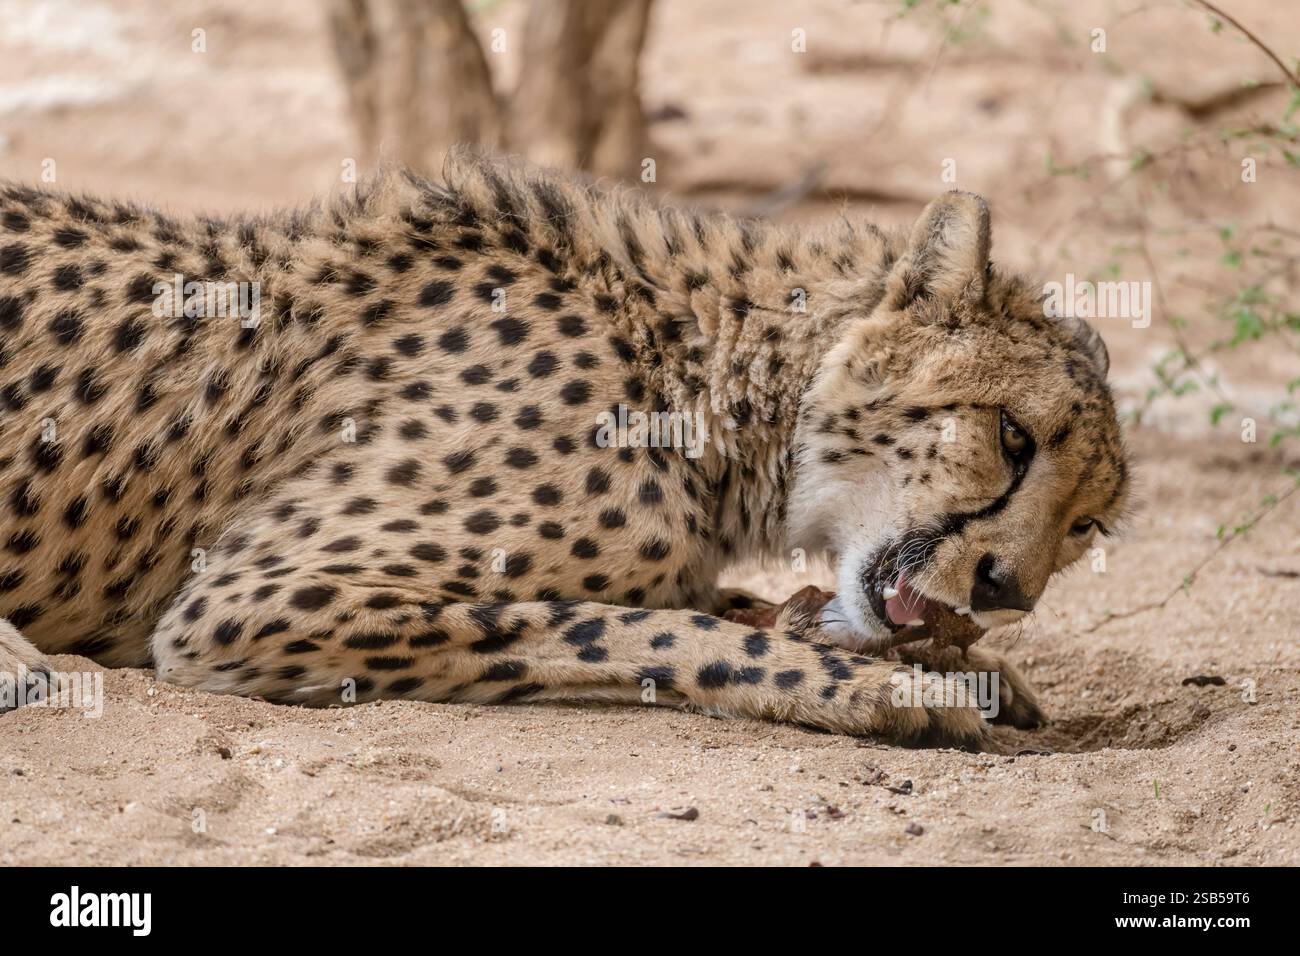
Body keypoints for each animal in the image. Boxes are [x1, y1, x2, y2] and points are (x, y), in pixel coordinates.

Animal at [0, 149, 1130, 748]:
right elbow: (634, 626)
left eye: (1085, 525)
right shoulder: (246, 599)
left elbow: (728, 603)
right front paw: (896, 688)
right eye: (1012, 435)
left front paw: (968, 662)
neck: (701, 368)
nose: (1004, 590)